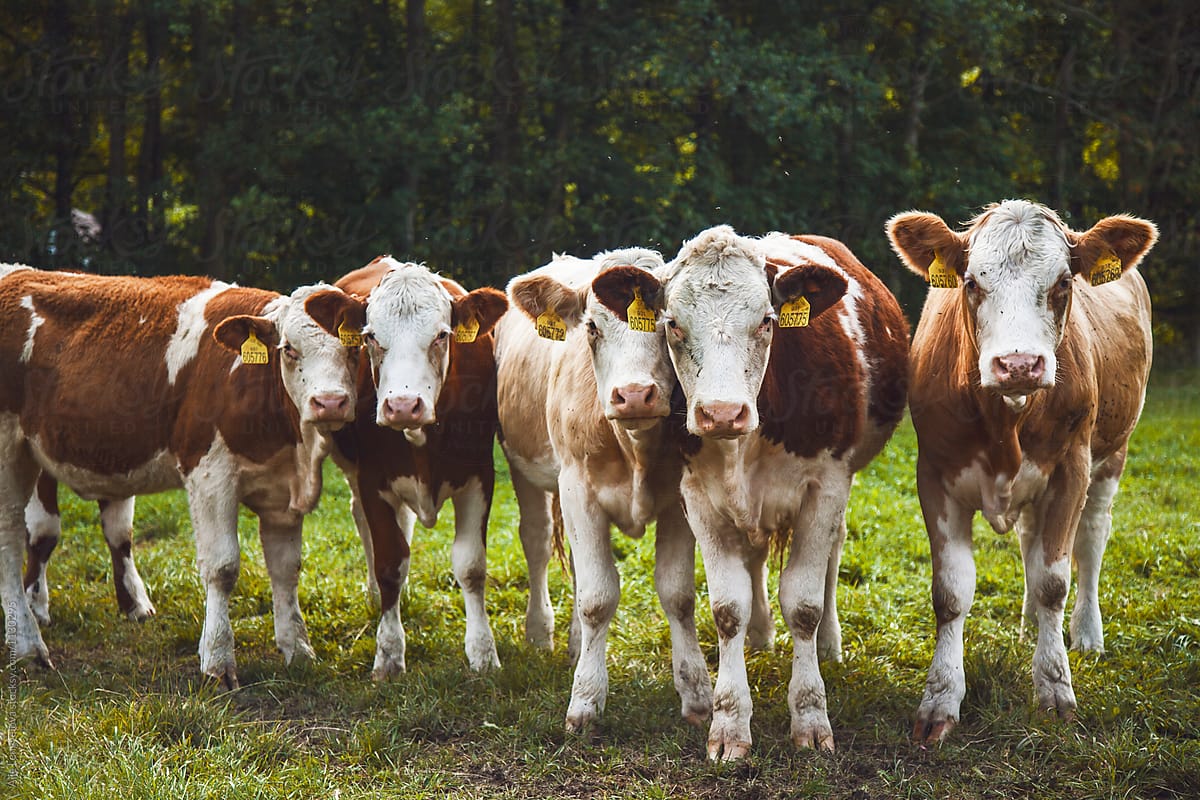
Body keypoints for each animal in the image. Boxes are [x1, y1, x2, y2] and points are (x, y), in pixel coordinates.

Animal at [0, 264, 366, 688]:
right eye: (289, 349)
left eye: (354, 348)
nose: (330, 403)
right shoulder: (209, 474)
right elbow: (223, 567)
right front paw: (218, 661)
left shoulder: (282, 489)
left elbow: (286, 569)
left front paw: (299, 649)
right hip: (9, 452)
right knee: (11, 539)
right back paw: (28, 644)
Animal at [329, 257, 508, 678]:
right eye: (370, 337)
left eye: (442, 335)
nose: (403, 406)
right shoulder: (372, 479)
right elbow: (389, 561)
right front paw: (389, 654)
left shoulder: (480, 476)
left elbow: (471, 566)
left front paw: (483, 652)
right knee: (365, 524)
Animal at [495, 248, 713, 732]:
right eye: (592, 327)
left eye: (666, 324)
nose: (633, 395)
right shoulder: (578, 490)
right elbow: (597, 598)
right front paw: (586, 701)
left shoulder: (680, 501)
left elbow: (678, 595)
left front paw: (696, 694)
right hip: (525, 471)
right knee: (537, 543)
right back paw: (541, 634)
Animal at [657, 226, 909, 759]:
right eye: (673, 324)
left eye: (767, 321)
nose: (722, 413)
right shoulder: (698, 495)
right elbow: (727, 608)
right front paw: (729, 723)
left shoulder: (827, 484)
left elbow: (805, 604)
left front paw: (811, 718)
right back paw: (759, 635)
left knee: (832, 557)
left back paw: (829, 644)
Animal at [886, 199, 1157, 742]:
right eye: (971, 282)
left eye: (1064, 282)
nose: (1018, 364)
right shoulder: (935, 474)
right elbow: (950, 593)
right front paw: (940, 700)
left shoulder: (1072, 469)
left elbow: (1055, 580)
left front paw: (1054, 689)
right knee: (1031, 537)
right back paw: (1030, 622)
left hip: (1111, 456)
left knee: (1090, 540)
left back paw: (1085, 633)